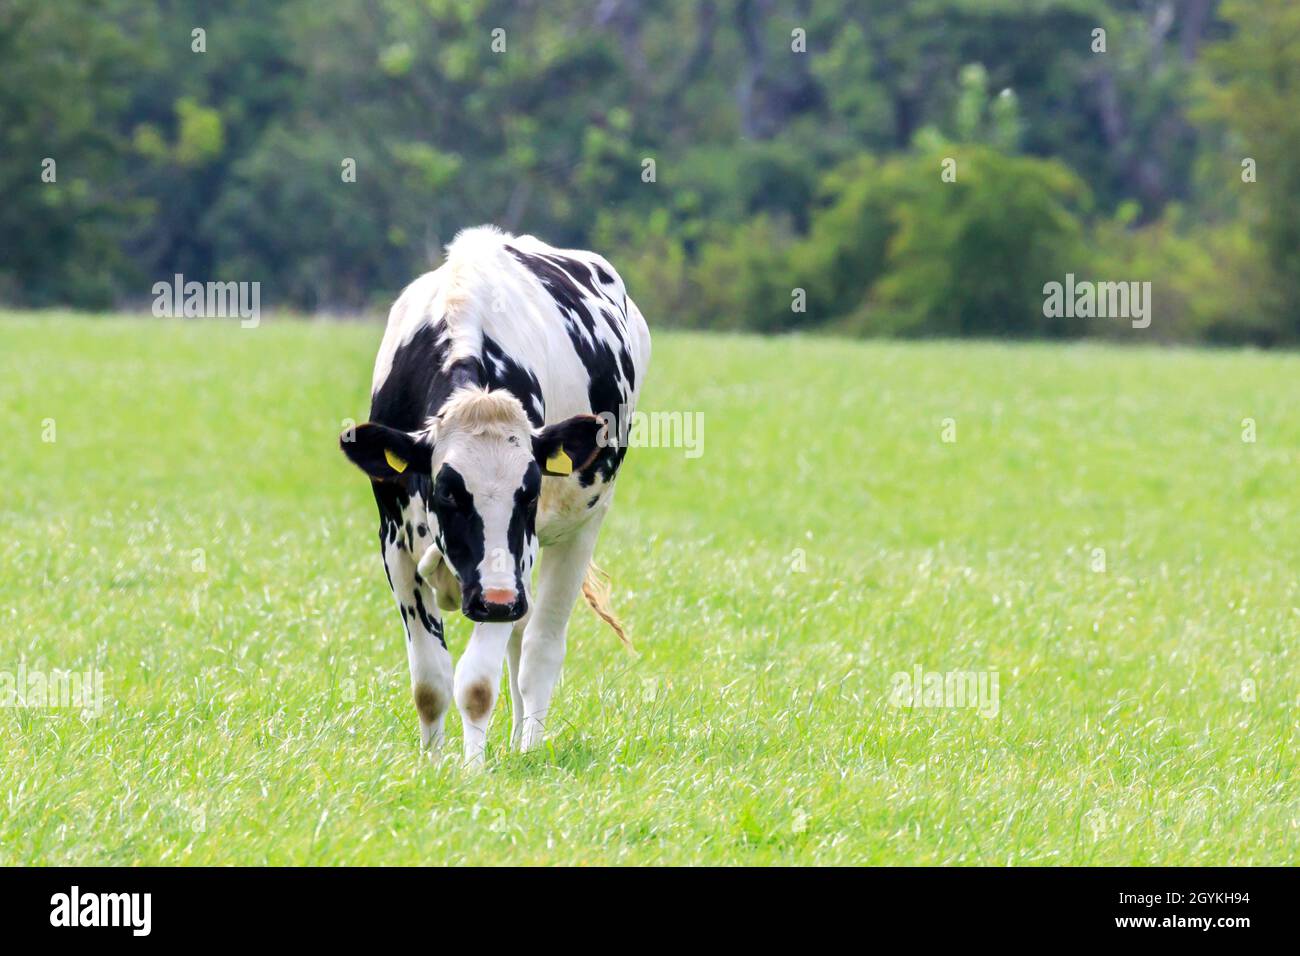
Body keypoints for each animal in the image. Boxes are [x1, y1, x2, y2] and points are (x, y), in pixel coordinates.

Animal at [339, 226, 651, 766]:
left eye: (529, 492)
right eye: (447, 492)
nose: (498, 600)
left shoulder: (516, 557)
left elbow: (476, 684)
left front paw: (472, 770)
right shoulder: (394, 546)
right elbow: (430, 682)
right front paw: (433, 765)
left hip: (579, 531)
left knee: (540, 647)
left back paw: (528, 745)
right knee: (520, 639)